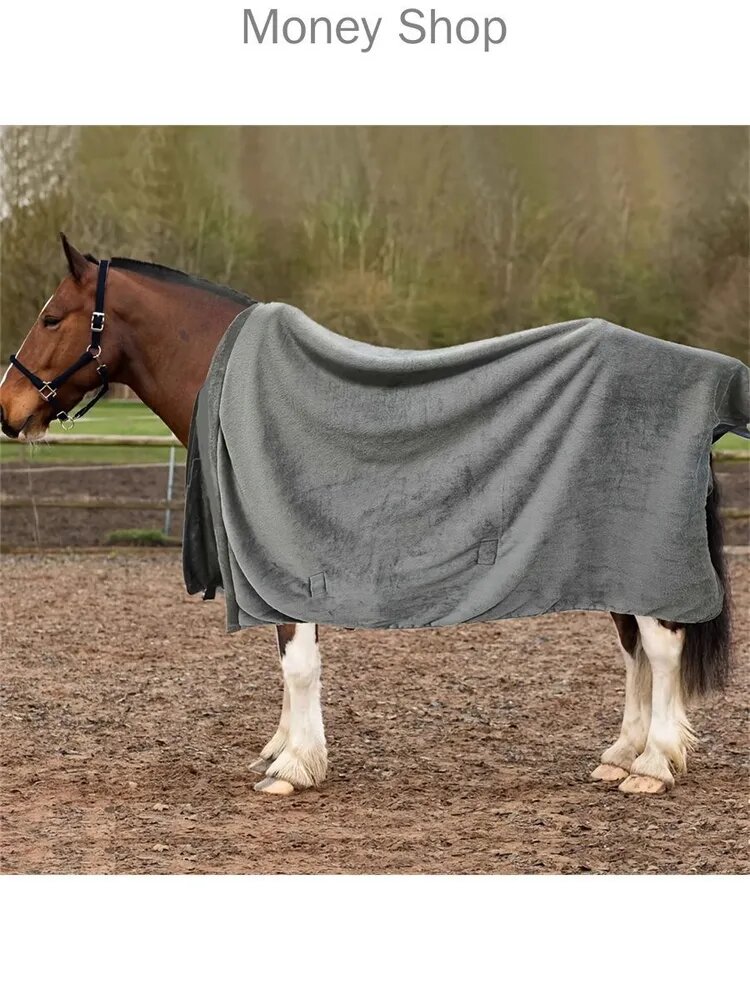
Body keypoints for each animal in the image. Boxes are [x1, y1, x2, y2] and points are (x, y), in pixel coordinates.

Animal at [0, 234, 732, 797]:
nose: (8, 409)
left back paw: (653, 765)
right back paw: (622, 756)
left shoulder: (285, 555)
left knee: (661, 647)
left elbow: (297, 661)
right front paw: (285, 750)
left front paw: (293, 767)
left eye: (52, 317)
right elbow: (292, 660)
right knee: (636, 650)